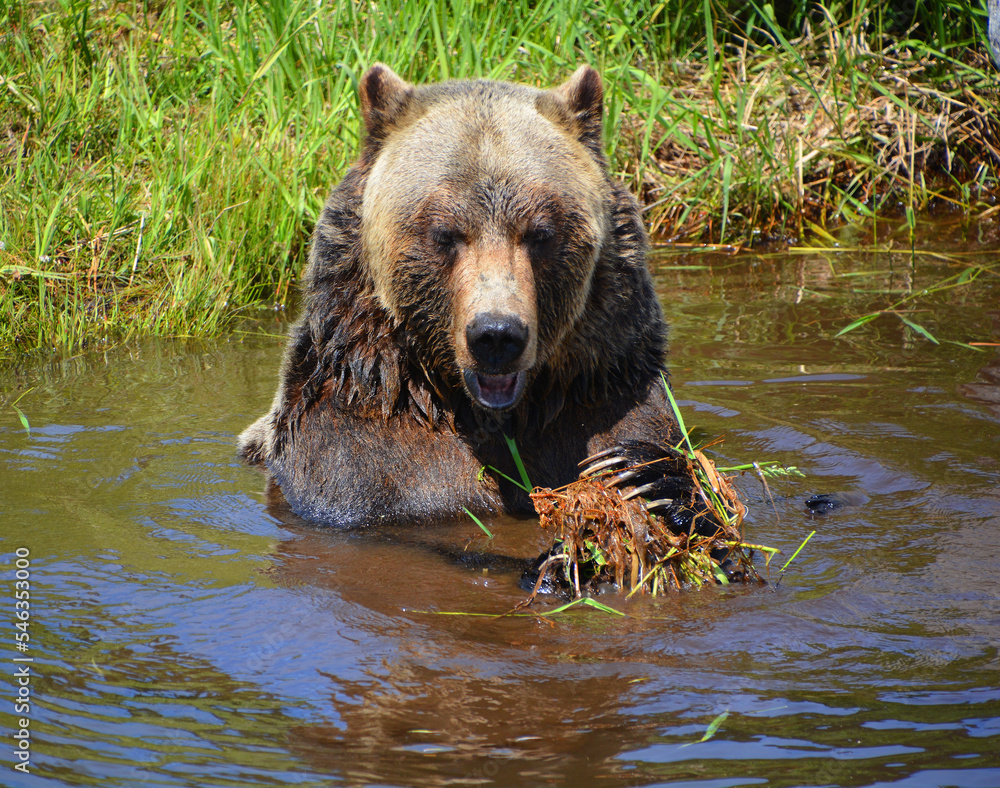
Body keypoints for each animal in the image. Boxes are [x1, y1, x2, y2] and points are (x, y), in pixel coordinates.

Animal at [239, 63, 685, 527]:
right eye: (446, 233)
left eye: (539, 232)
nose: (497, 335)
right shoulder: (358, 453)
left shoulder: (602, 390)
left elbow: (630, 444)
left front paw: (644, 476)